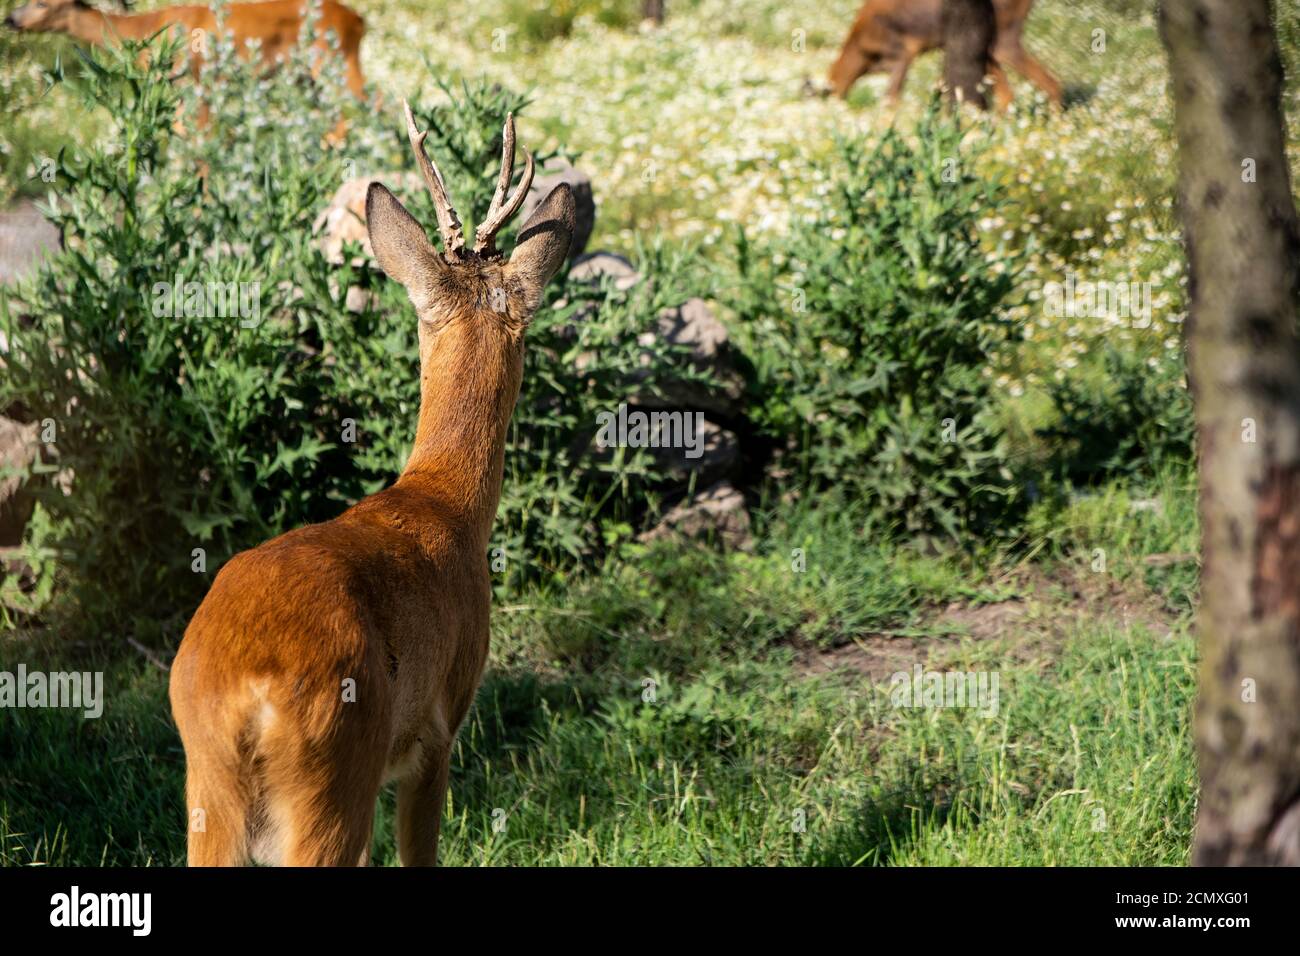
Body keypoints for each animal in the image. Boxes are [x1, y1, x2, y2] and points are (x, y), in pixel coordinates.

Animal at [2, 0, 367, 99]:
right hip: (309, 77)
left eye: (42, 2)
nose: (10, 19)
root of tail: (359, 20)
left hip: (336, 61)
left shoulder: (190, 78)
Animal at [827, 0, 1062, 108]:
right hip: (988, 47)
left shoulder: (904, 52)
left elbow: (891, 99)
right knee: (1008, 95)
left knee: (1051, 83)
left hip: (1003, 40)